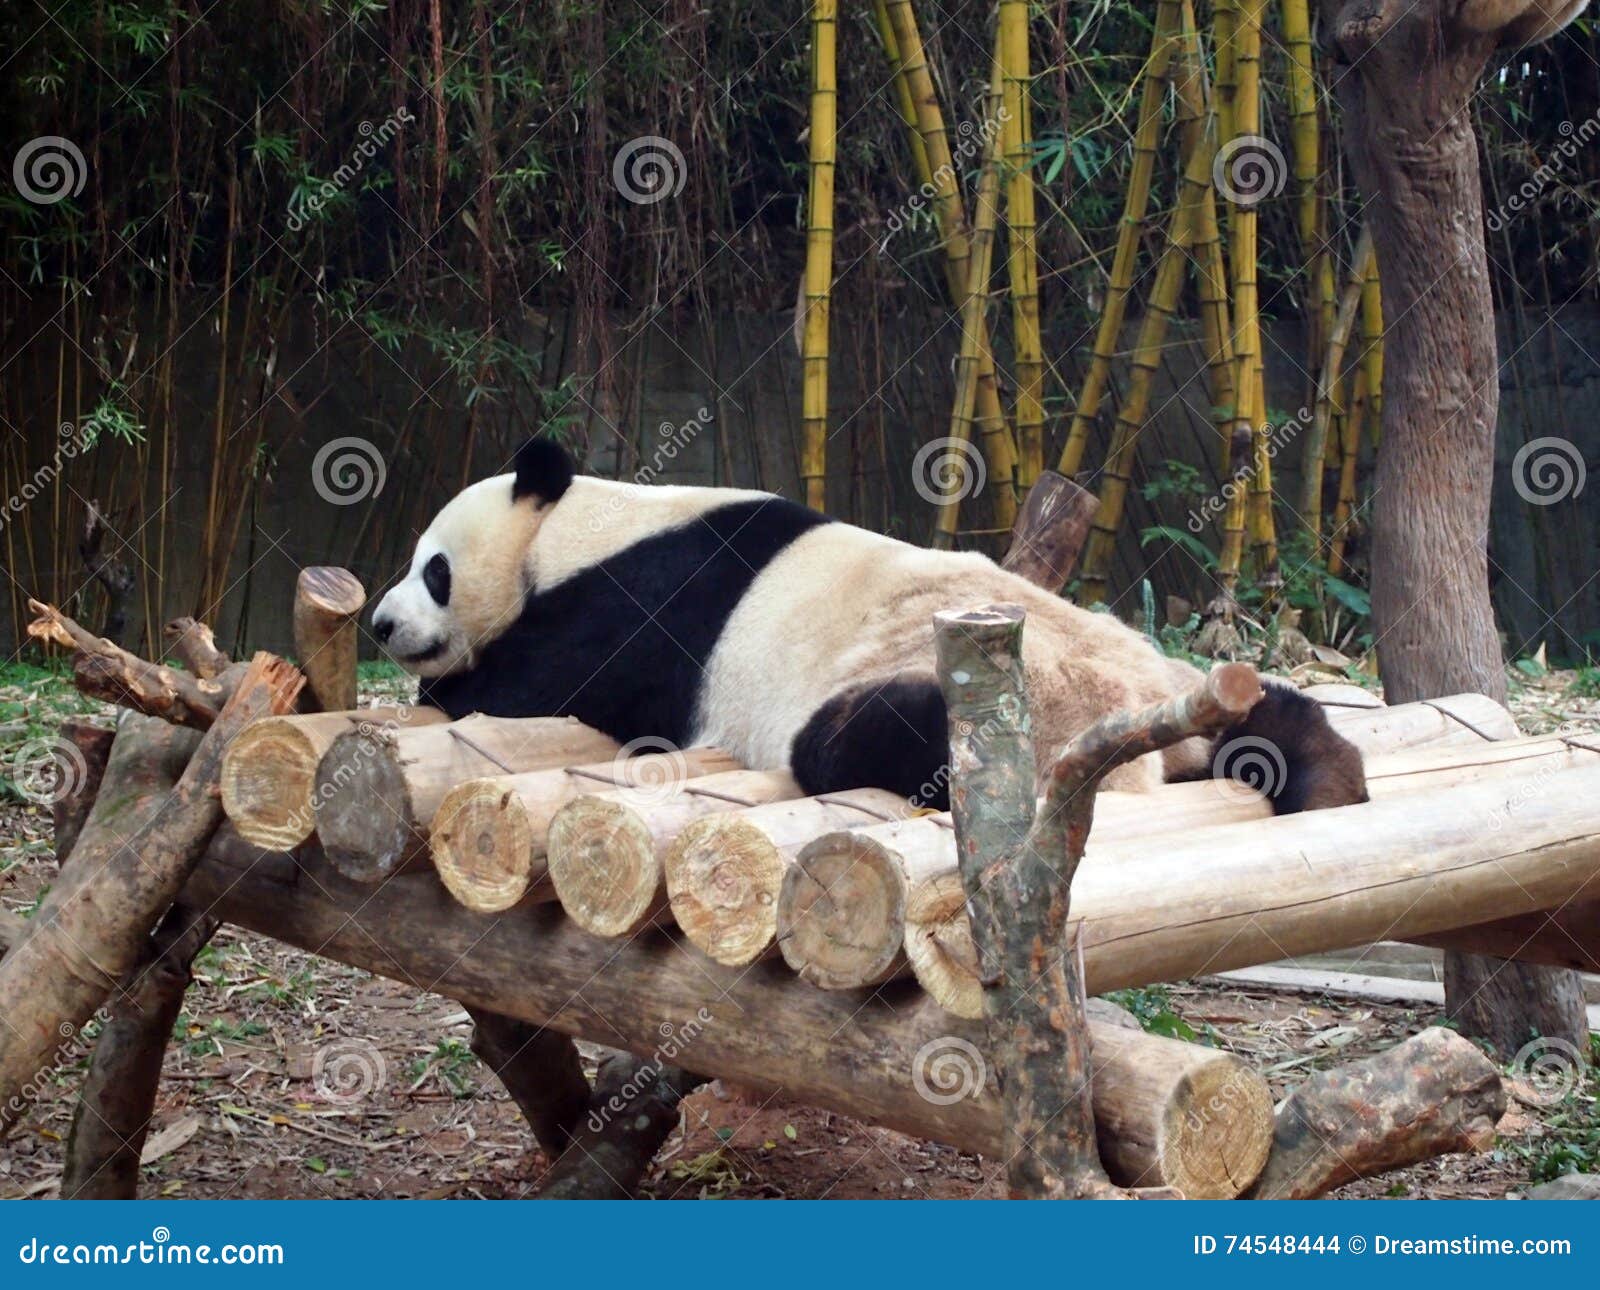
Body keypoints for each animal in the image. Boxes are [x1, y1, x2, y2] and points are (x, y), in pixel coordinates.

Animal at [372, 438, 1367, 812]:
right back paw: (1325, 774)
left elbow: (538, 684)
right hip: (1173, 676)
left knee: (861, 736)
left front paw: (453, 678)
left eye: (434, 569)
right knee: (1266, 711)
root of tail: (1145, 759)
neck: (578, 523)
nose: (381, 623)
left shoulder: (643, 603)